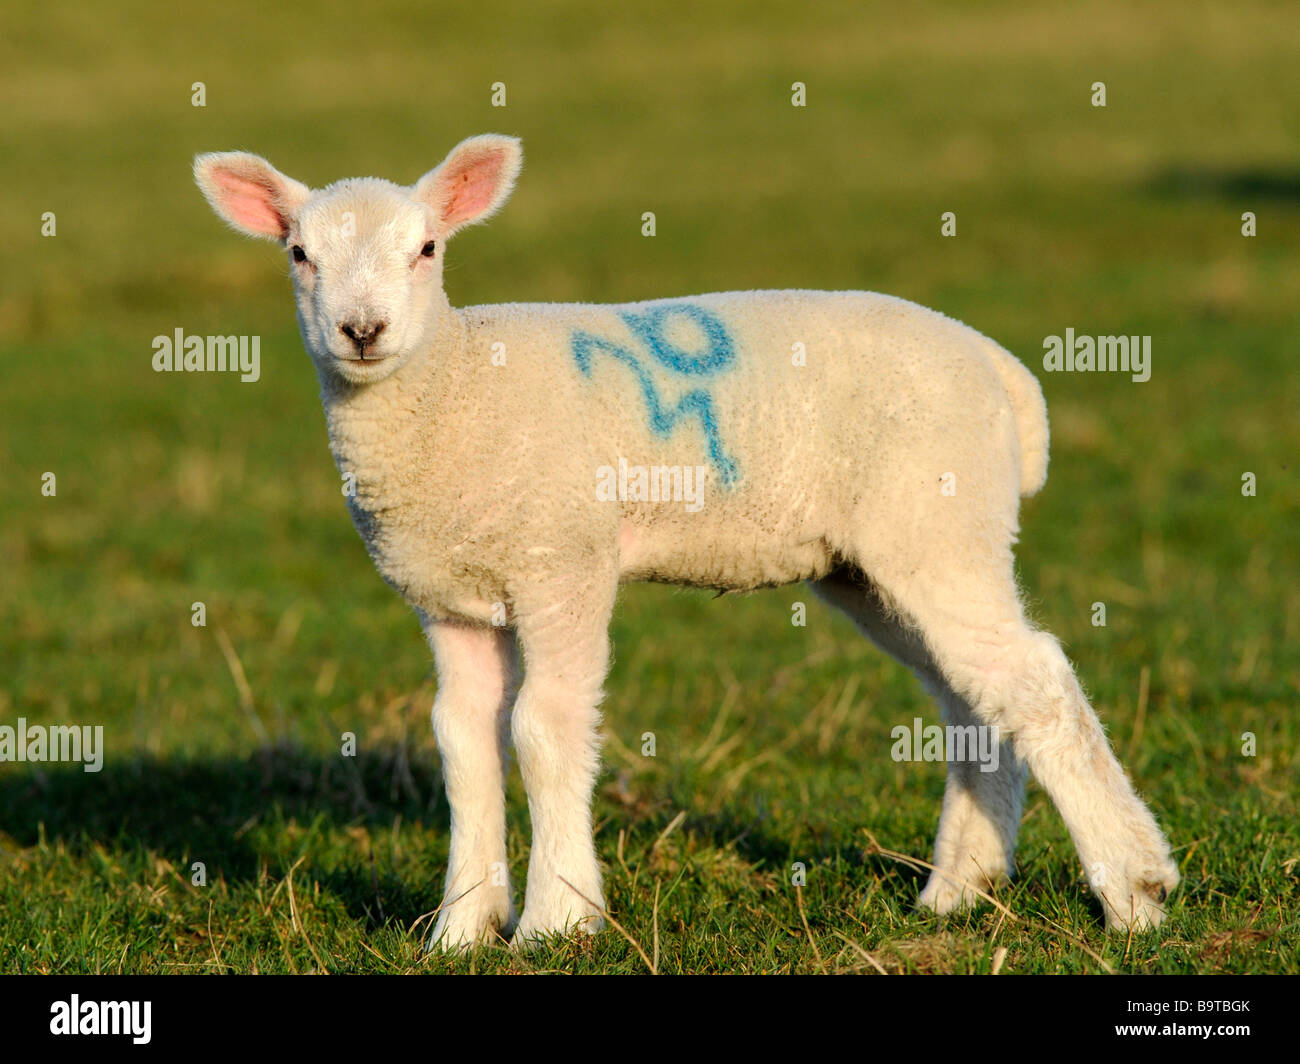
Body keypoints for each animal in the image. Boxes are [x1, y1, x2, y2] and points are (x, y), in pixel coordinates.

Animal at [194, 133, 1180, 951]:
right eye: (298, 254)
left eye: (427, 249)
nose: (363, 331)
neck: (457, 382)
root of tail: (1003, 374)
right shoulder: (450, 593)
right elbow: (464, 742)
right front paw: (462, 930)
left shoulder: (564, 561)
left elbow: (543, 728)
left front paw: (558, 921)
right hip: (877, 561)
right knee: (974, 696)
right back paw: (958, 893)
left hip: (938, 519)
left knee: (1035, 680)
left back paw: (1134, 890)